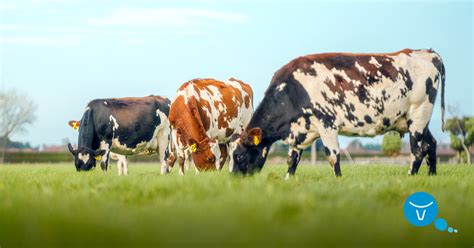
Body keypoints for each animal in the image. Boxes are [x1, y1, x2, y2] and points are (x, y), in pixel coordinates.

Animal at [231, 48, 446, 178]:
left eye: (239, 156)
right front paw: (287, 180)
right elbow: (292, 160)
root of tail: (426, 52)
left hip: (419, 114)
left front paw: (338, 180)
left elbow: (333, 156)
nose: (233, 181)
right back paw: (431, 176)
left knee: (417, 150)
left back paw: (410, 177)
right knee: (431, 144)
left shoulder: (326, 122)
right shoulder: (300, 131)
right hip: (415, 119)